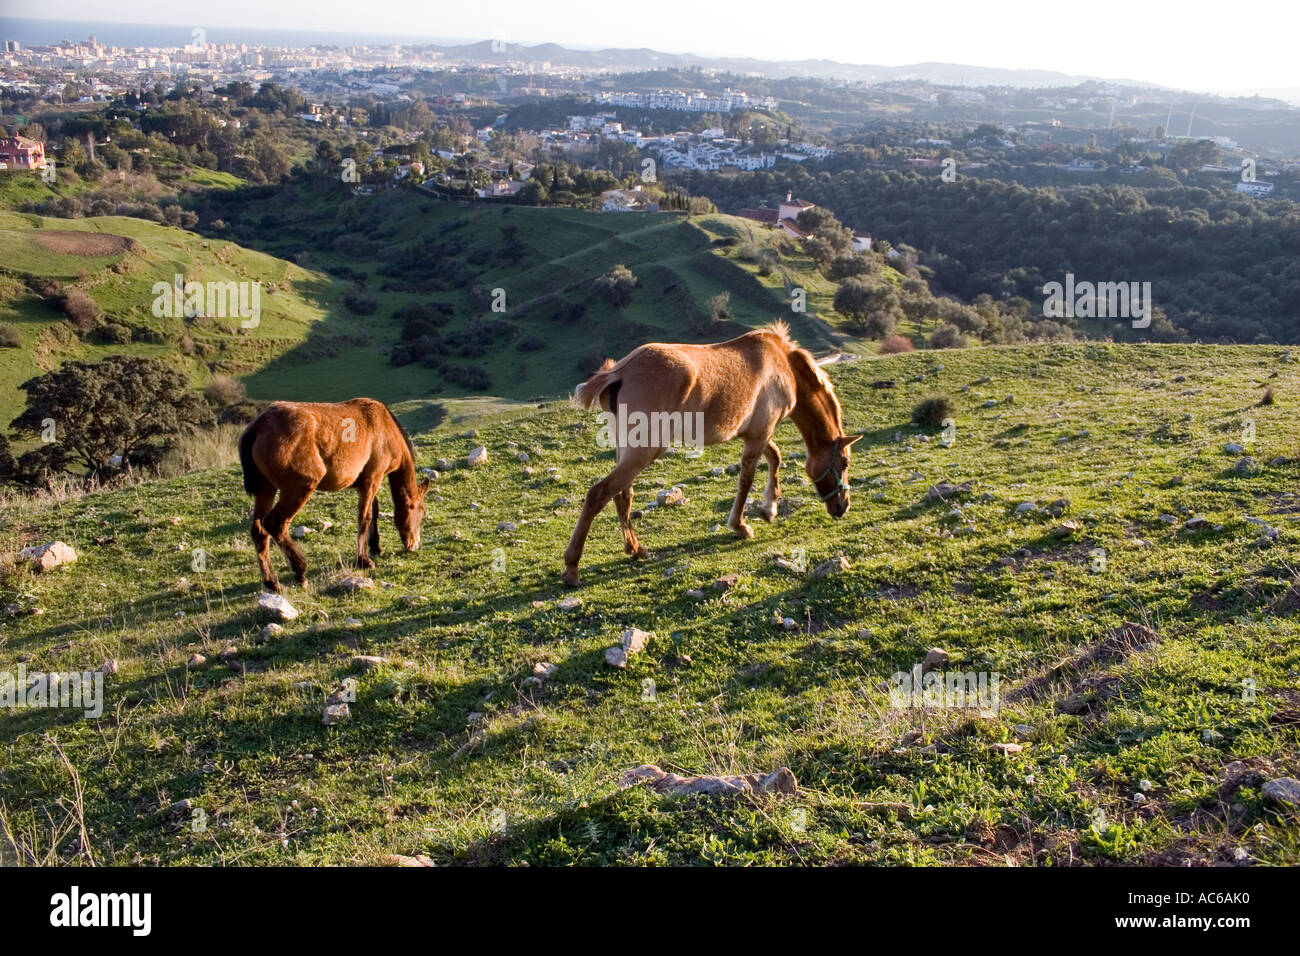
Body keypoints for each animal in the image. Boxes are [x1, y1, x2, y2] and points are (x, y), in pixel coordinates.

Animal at [238, 398, 430, 592]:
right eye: (420, 511)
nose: (414, 544)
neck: (384, 426)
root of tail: (259, 426)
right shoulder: (372, 479)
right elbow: (365, 517)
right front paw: (363, 559)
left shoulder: (368, 484)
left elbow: (373, 512)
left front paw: (375, 546)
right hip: (299, 489)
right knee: (275, 524)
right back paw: (300, 570)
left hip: (266, 489)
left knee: (259, 531)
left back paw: (272, 582)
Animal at [562, 321, 860, 587]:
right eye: (844, 462)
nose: (843, 507)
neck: (783, 364)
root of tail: (619, 372)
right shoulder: (760, 434)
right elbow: (747, 479)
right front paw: (740, 525)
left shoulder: (757, 433)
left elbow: (775, 458)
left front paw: (769, 508)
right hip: (643, 451)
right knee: (599, 494)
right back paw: (572, 568)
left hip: (628, 451)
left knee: (622, 495)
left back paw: (635, 549)